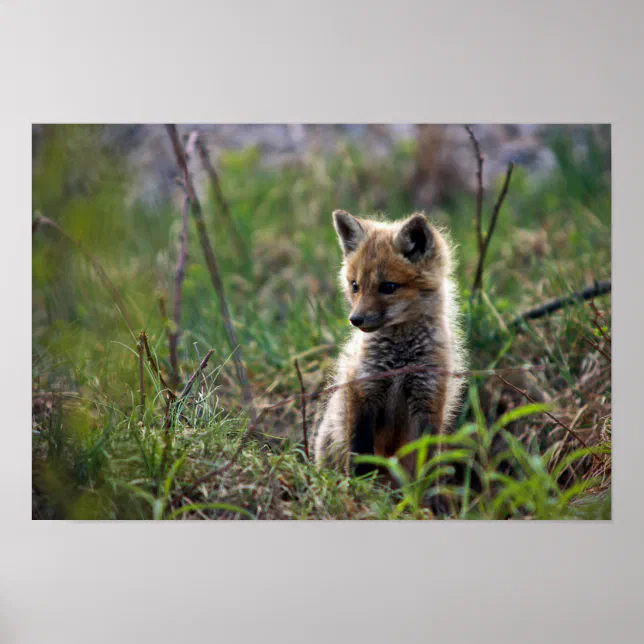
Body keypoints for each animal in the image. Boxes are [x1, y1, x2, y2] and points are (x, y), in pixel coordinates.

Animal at [313, 209, 467, 476]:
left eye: (388, 287)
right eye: (355, 286)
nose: (355, 319)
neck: (399, 360)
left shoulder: (428, 397)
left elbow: (426, 460)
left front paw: (424, 488)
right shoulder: (363, 388)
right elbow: (359, 452)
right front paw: (359, 484)